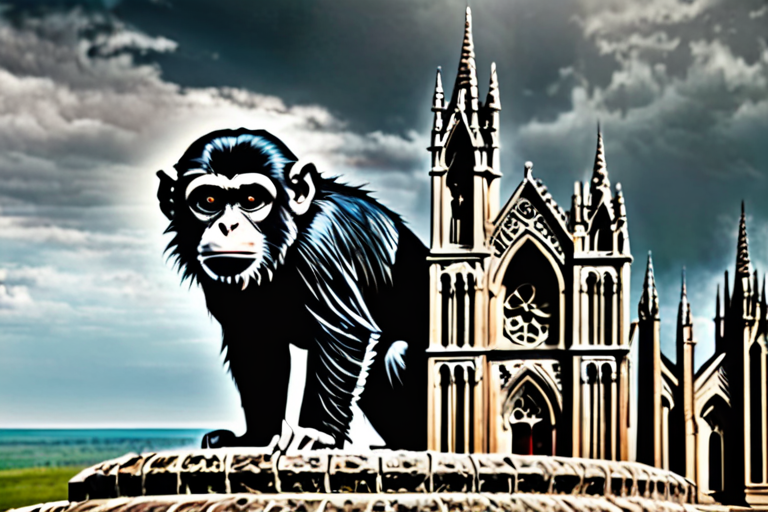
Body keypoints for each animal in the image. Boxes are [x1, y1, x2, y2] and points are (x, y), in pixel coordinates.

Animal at [157, 128, 428, 450]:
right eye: (209, 199)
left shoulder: (323, 242)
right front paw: (256, 437)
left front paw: (315, 434)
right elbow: (256, 345)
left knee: (395, 354)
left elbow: (342, 335)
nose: (228, 226)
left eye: (251, 199)